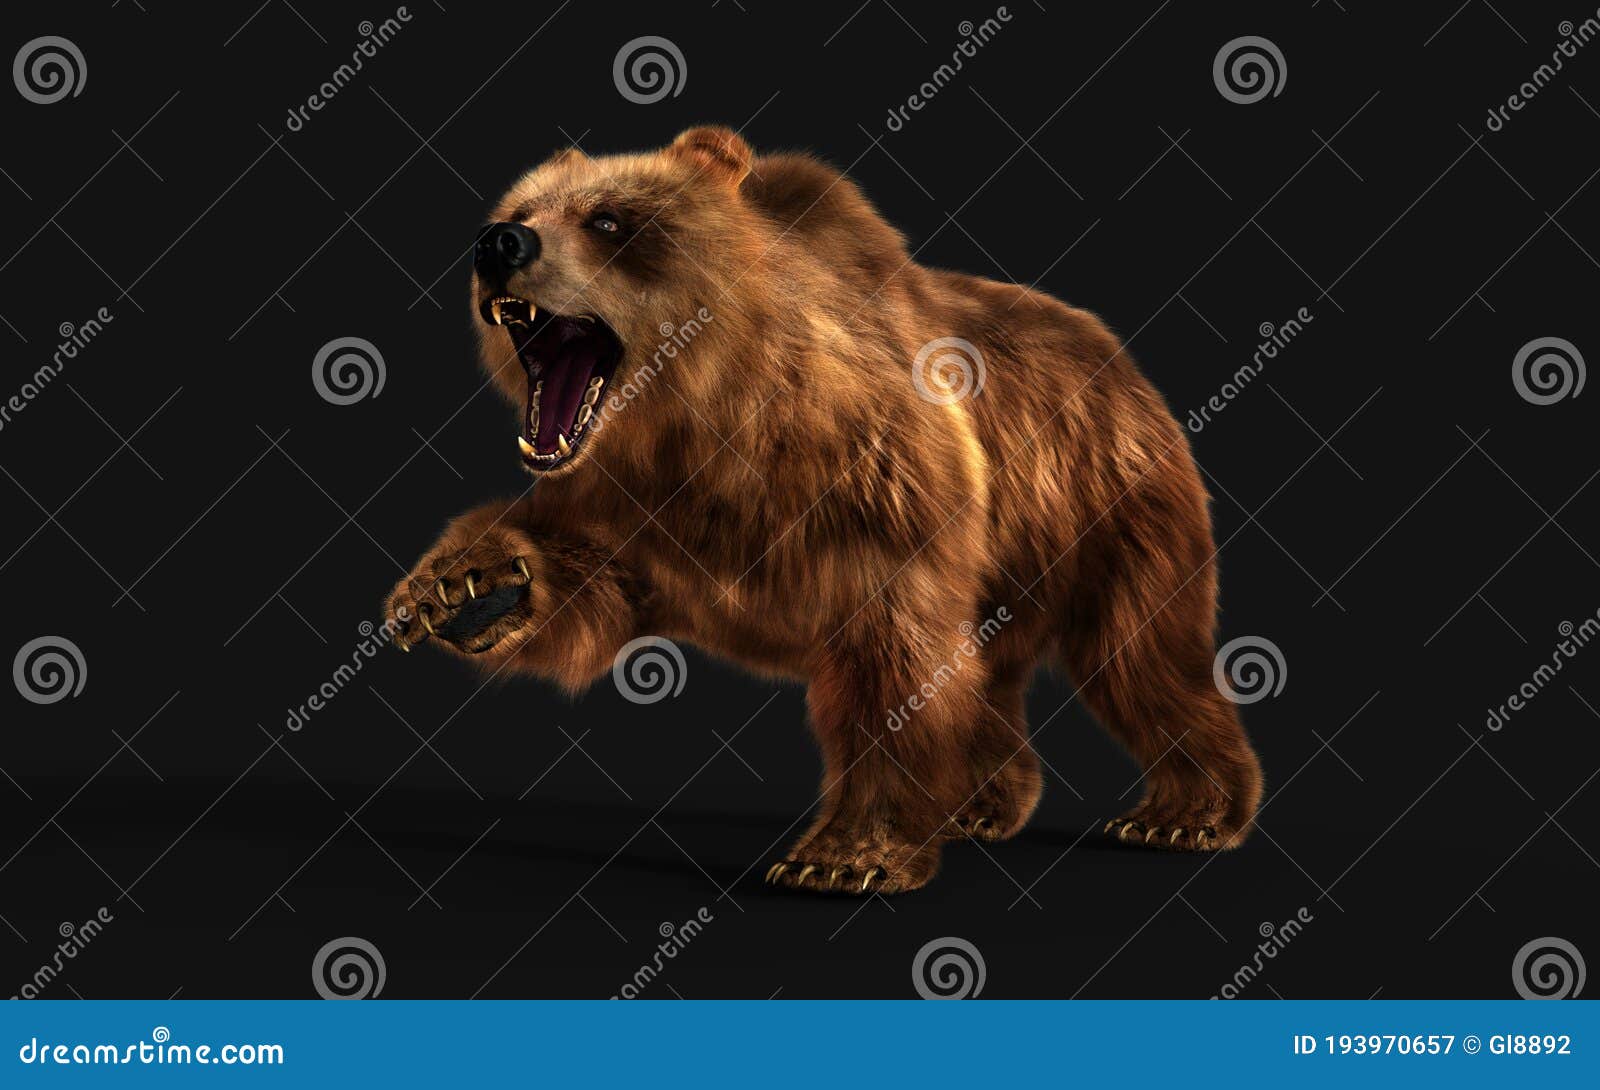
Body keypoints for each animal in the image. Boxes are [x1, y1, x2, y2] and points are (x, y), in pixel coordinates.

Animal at [383, 125, 1264, 894]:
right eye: (523, 206)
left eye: (608, 219)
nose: (499, 243)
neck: (704, 419)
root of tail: (1117, 352)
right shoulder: (628, 509)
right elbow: (585, 588)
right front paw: (464, 588)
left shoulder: (870, 489)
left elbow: (892, 661)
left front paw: (845, 857)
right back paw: (979, 804)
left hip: (1104, 496)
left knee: (1141, 651)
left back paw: (1185, 813)